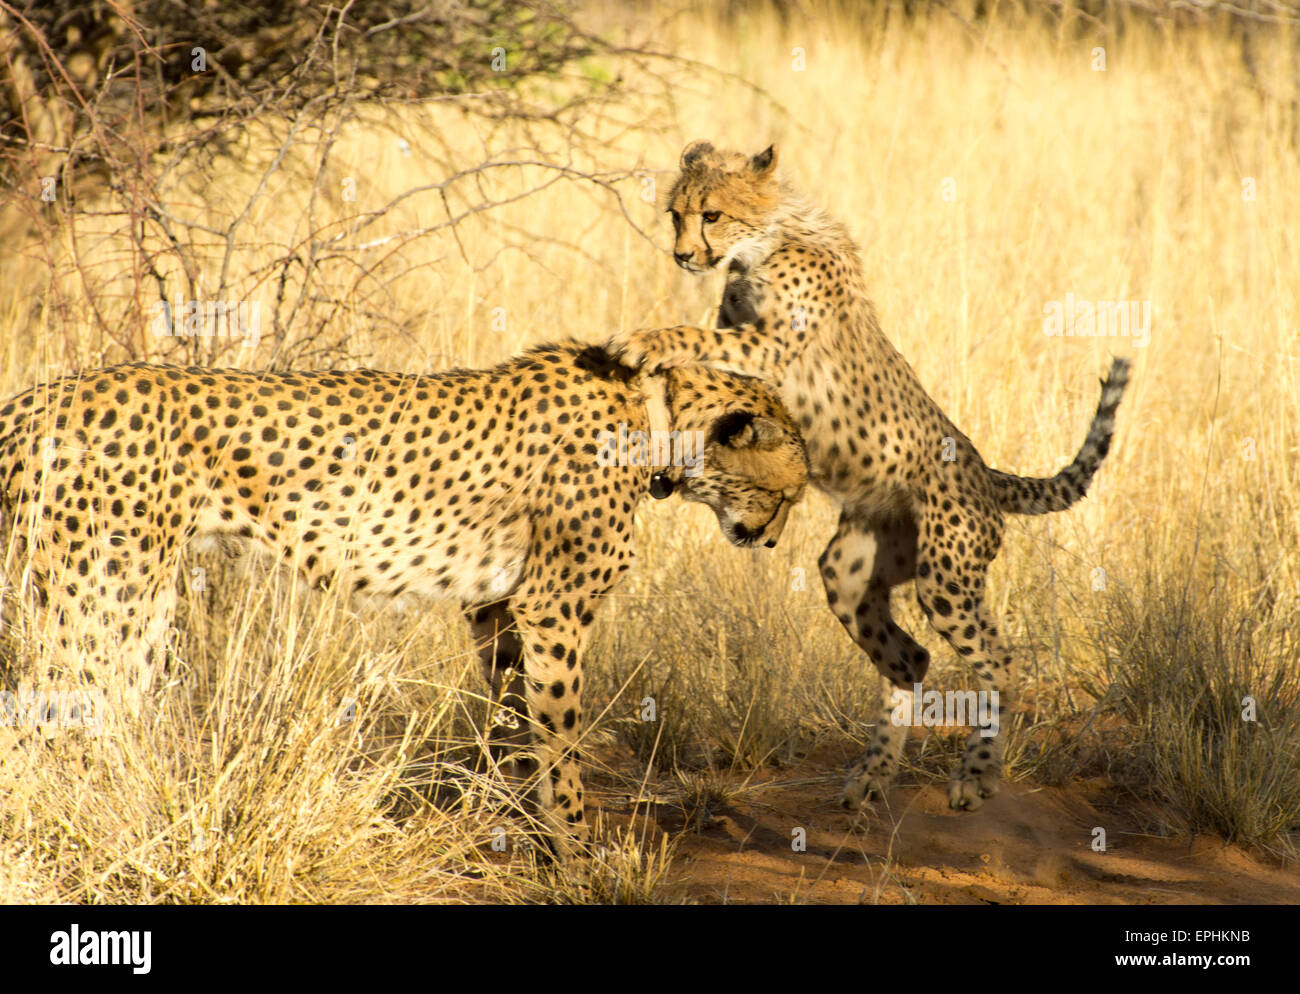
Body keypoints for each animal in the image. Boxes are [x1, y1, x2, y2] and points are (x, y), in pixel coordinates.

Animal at [0, 340, 807, 856]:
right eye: (789, 492)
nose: (771, 541)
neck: (654, 415)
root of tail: (35, 397)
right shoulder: (553, 607)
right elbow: (562, 737)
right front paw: (579, 851)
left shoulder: (495, 608)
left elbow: (513, 725)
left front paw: (516, 823)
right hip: (104, 592)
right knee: (52, 715)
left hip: (122, 598)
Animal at [615, 140, 1131, 813]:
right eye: (676, 214)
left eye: (713, 215)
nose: (682, 255)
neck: (765, 242)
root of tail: (986, 473)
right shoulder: (744, 343)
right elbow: (706, 358)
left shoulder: (769, 347)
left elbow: (692, 336)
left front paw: (643, 343)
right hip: (851, 569)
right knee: (911, 657)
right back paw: (873, 772)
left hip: (946, 575)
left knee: (998, 657)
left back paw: (976, 773)